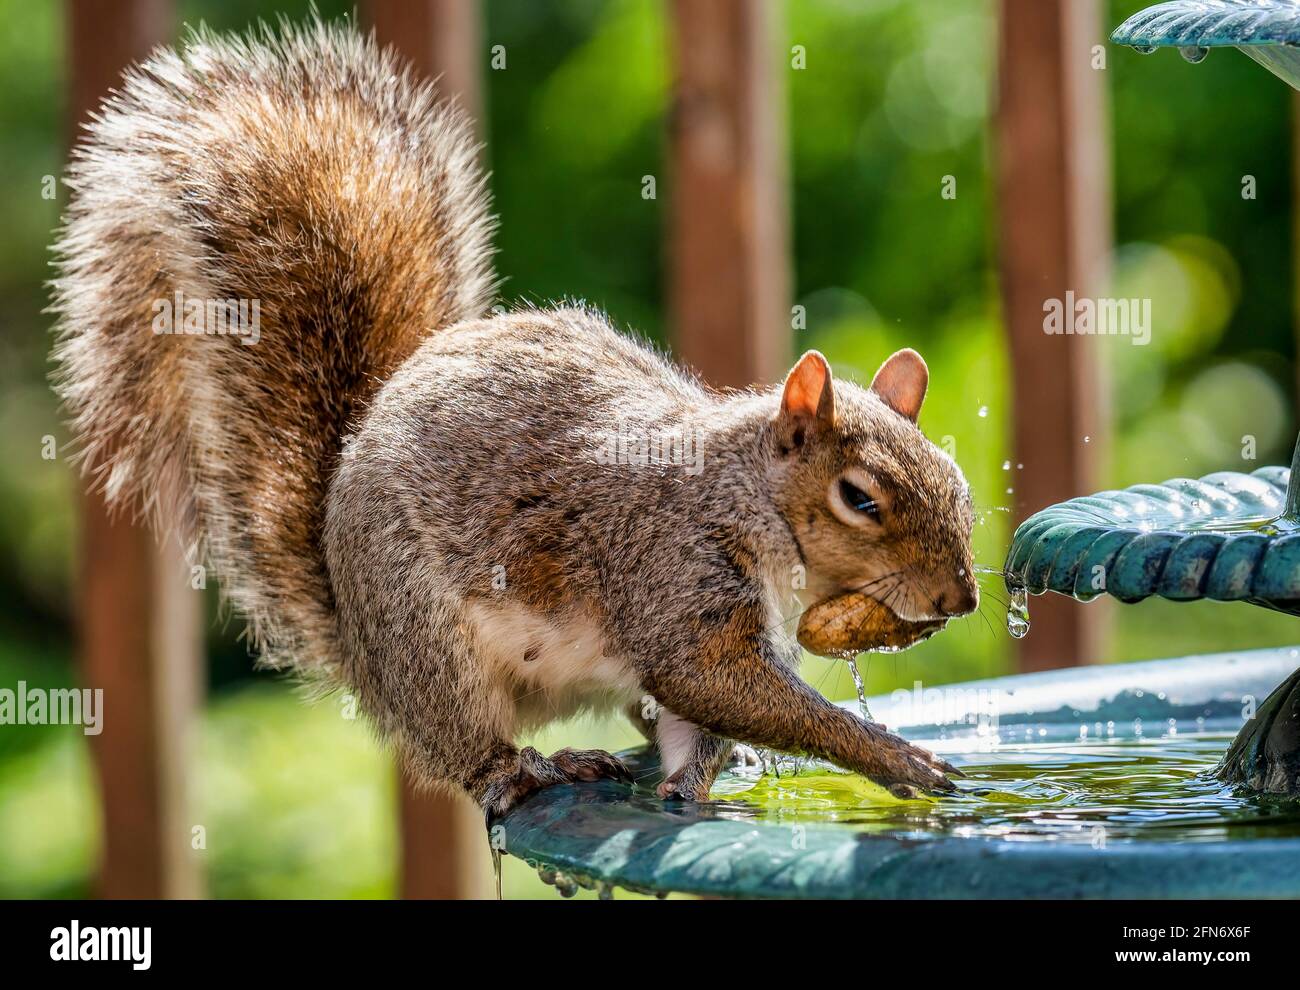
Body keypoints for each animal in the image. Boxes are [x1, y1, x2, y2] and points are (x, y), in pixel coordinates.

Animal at [49, 19, 979, 819]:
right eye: (860, 498)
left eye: (961, 488)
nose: (961, 598)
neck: (740, 491)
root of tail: (360, 646)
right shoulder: (671, 577)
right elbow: (704, 680)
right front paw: (892, 755)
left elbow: (691, 720)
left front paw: (699, 781)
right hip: (427, 641)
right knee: (466, 751)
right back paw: (527, 768)